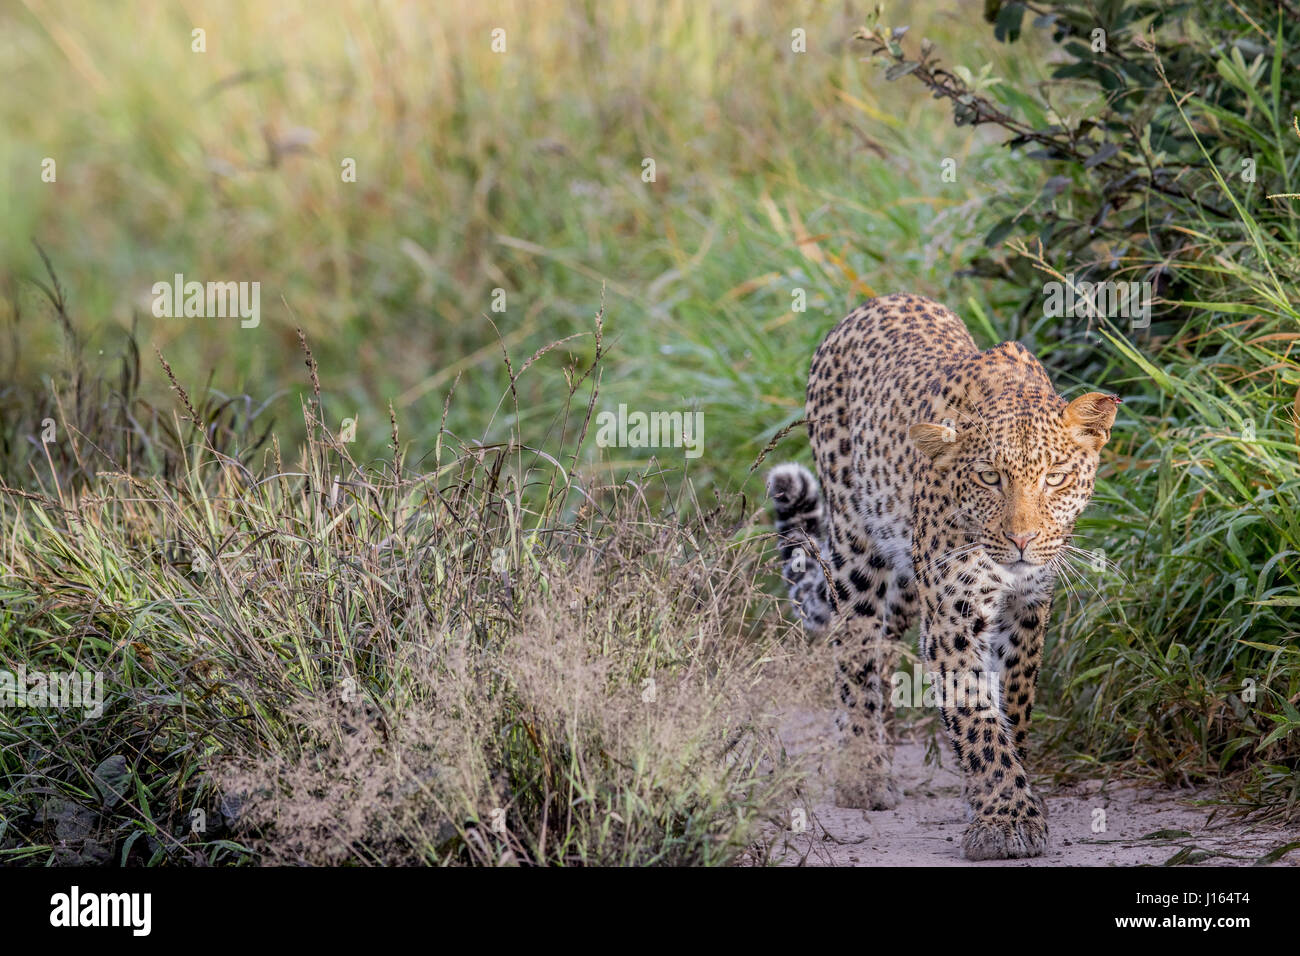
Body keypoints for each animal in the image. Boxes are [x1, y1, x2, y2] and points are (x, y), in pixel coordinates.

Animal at [767, 292, 1118, 861]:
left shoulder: (1027, 608)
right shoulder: (955, 612)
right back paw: (863, 773)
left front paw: (999, 797)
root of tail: (879, 300)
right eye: (989, 477)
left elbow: (1012, 703)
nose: (1022, 540)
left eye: (1056, 478)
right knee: (854, 650)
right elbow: (975, 713)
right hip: (856, 547)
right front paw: (1005, 819)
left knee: (873, 650)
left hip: (908, 585)